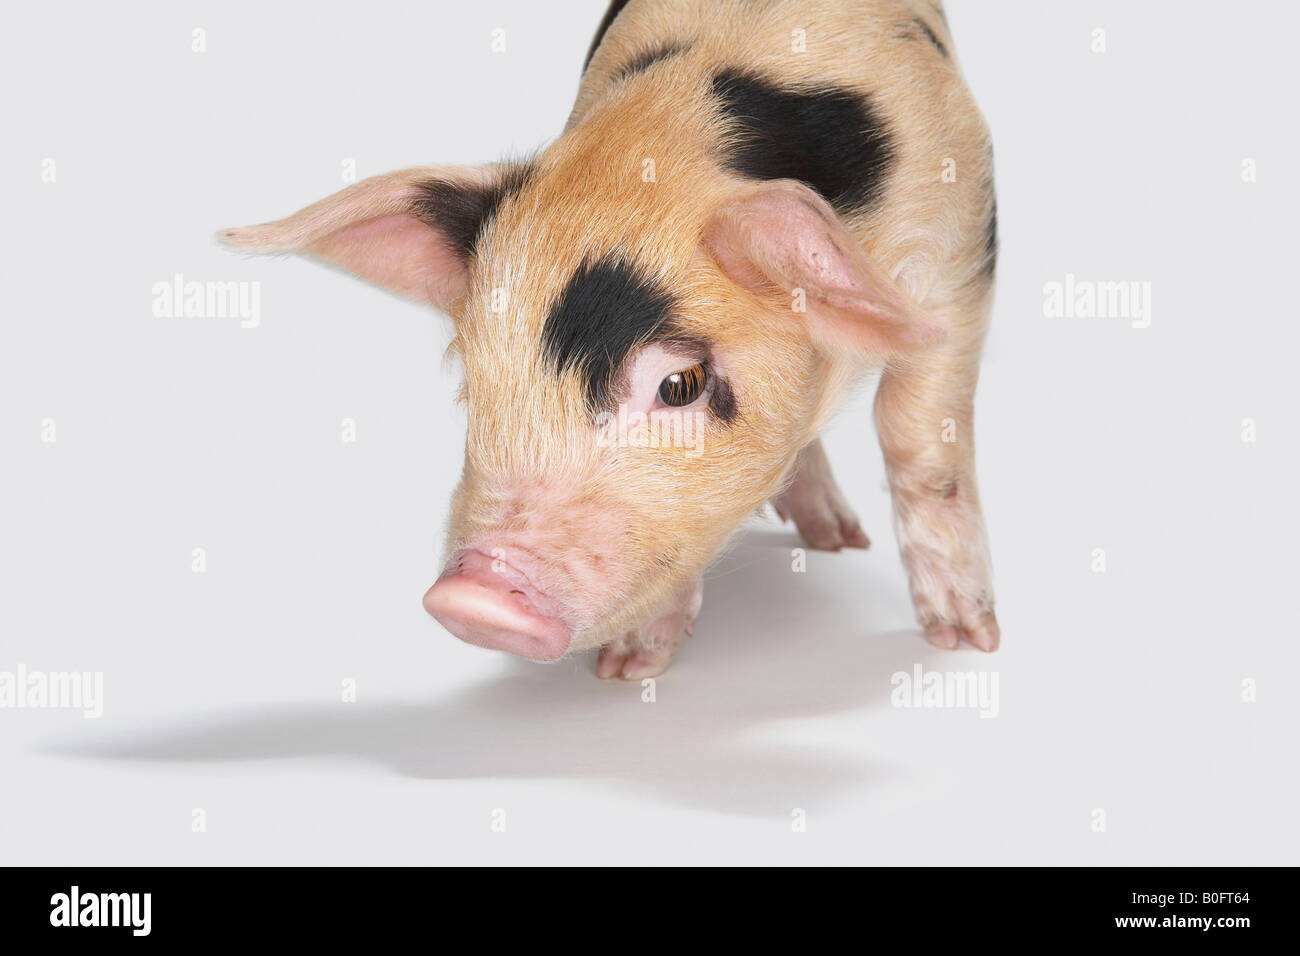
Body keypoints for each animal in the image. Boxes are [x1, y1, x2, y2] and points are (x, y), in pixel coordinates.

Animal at [220, 0, 999, 679]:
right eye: (474, 383)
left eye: (679, 385)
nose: (471, 598)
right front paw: (628, 672)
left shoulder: (960, 254)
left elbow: (919, 439)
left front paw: (966, 641)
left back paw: (843, 544)